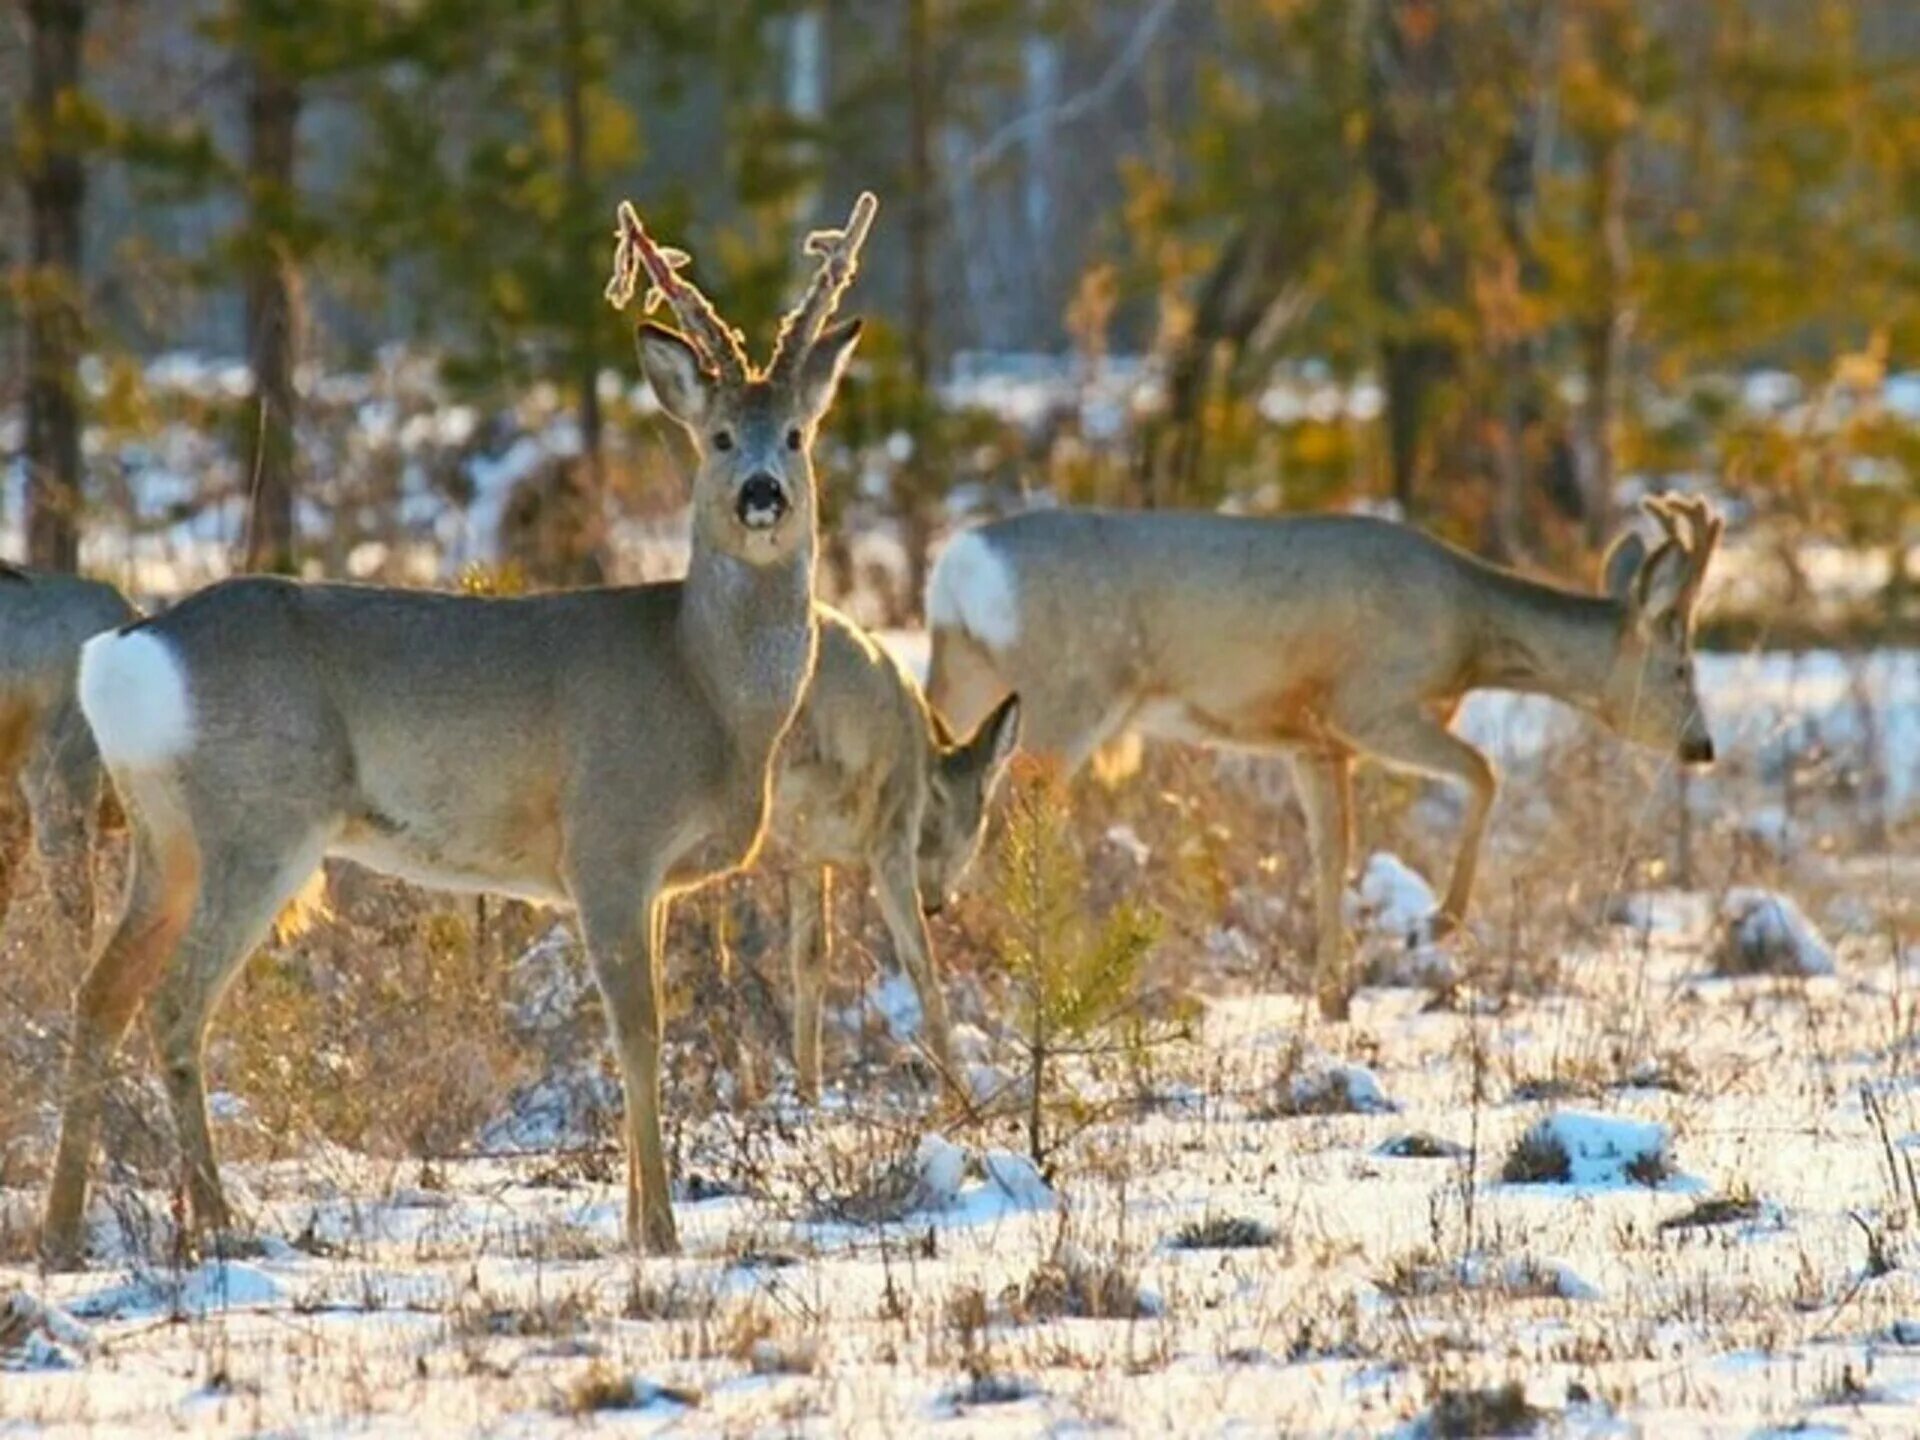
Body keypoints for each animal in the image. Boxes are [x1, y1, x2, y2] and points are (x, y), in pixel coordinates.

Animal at [41, 189, 879, 1259]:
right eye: (720, 437)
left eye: (799, 436)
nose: (762, 495)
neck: (707, 689)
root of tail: (126, 651)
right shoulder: (609, 837)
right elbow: (638, 1032)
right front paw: (656, 1229)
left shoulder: (648, 876)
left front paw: (643, 1216)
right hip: (258, 819)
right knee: (177, 1005)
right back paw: (225, 1229)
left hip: (166, 834)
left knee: (100, 992)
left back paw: (63, 1231)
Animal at [771, 602, 1029, 1098]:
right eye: (979, 827)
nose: (937, 903)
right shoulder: (889, 841)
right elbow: (921, 965)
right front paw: (955, 1096)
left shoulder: (808, 850)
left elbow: (810, 959)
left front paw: (810, 1093)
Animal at [929, 495, 1728, 1013]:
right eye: (1680, 666)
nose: (1703, 745)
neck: (1466, 630)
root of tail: (960, 567)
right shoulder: (1368, 705)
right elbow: (1484, 773)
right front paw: (1432, 924)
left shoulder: (1314, 744)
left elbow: (1330, 854)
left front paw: (1331, 996)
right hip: (1070, 692)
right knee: (1011, 819)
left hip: (965, 677)